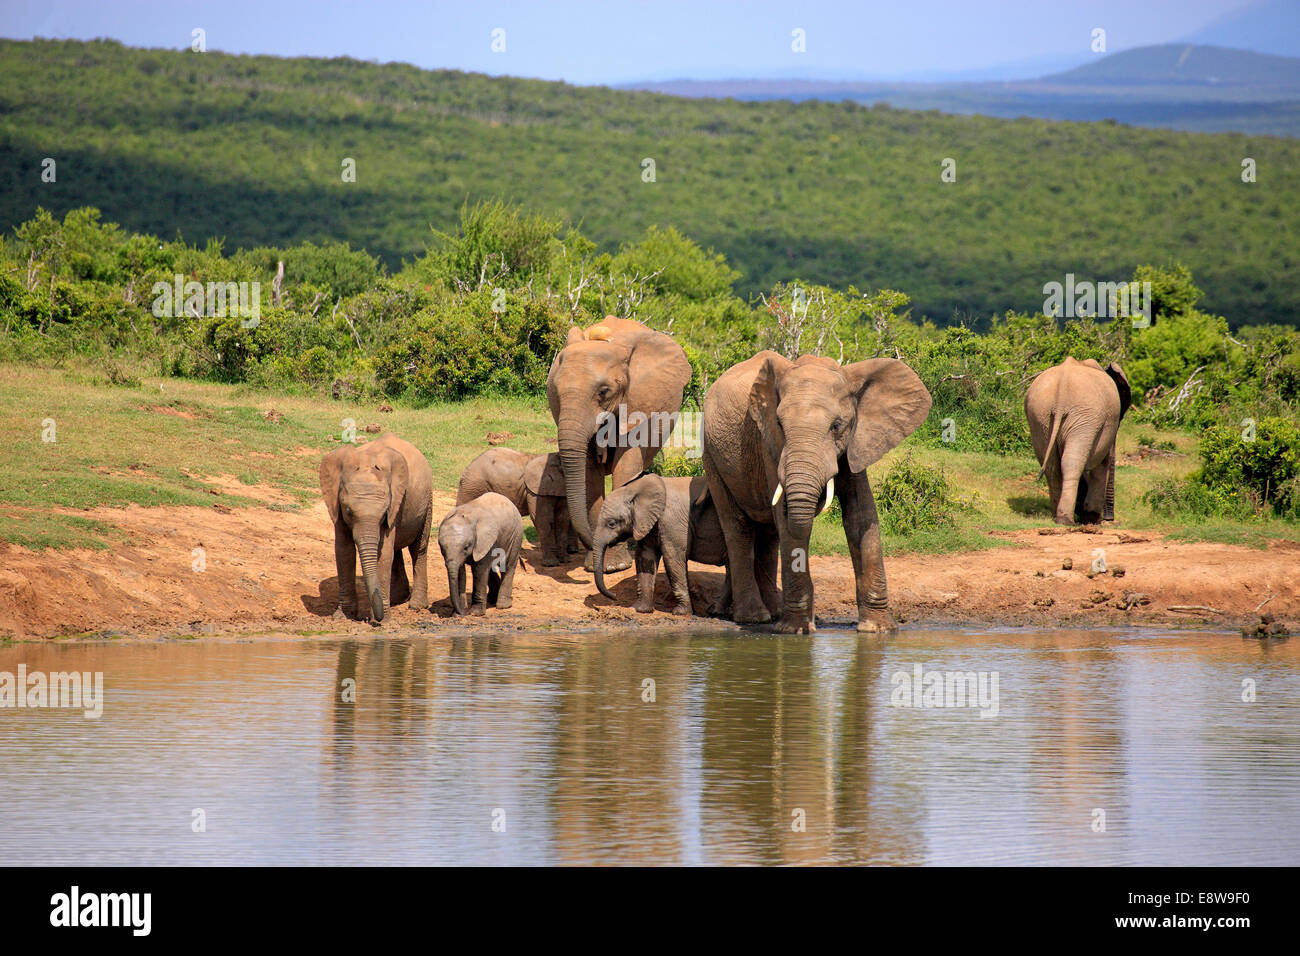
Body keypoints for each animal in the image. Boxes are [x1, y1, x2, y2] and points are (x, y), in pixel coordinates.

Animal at [320, 433, 433, 623]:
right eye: (349, 511)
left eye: (383, 513)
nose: (372, 619)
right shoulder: (336, 506)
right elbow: (344, 551)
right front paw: (343, 617)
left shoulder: (395, 502)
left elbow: (384, 551)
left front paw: (383, 621)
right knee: (397, 550)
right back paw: (397, 599)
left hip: (427, 501)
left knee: (418, 548)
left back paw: (416, 605)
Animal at [547, 317, 692, 575]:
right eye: (555, 391)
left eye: (604, 392)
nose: (598, 541)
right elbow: (589, 473)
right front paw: (601, 565)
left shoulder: (638, 402)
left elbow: (626, 466)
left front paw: (616, 565)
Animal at [592, 473, 730, 616]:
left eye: (611, 524)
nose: (614, 596)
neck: (635, 488)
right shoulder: (647, 522)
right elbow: (645, 557)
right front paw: (640, 609)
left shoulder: (672, 521)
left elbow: (672, 558)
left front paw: (681, 612)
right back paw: (715, 611)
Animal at [702, 352, 931, 634]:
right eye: (779, 424)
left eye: (836, 425)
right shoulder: (769, 443)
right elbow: (786, 520)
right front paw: (796, 631)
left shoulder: (858, 440)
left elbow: (861, 514)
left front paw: (877, 630)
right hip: (711, 456)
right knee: (738, 528)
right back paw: (754, 617)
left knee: (768, 534)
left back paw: (772, 612)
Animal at [1024, 356, 1132, 525]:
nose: (1109, 519)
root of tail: (1061, 392)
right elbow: (1102, 463)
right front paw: (1092, 518)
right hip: (1084, 417)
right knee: (1072, 462)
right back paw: (1066, 520)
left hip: (1039, 416)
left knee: (1052, 466)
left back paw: (1057, 517)